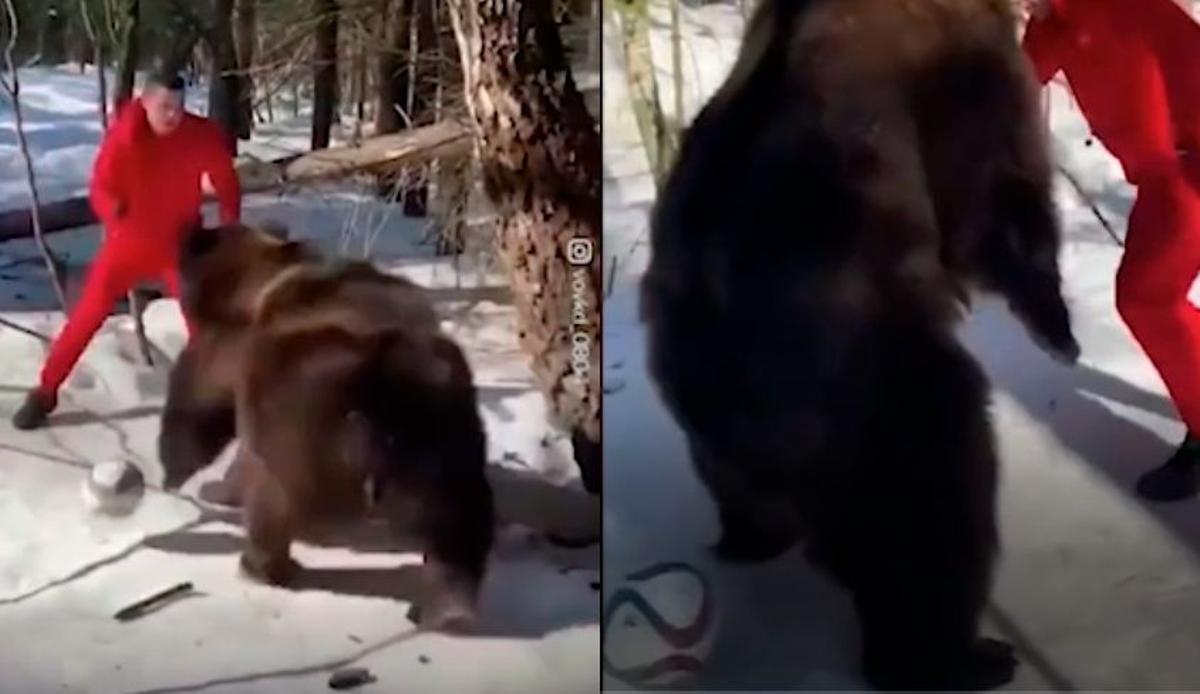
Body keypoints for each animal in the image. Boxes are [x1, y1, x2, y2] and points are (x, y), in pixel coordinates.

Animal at [158, 222, 494, 634]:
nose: (189, 233)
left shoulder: (236, 351)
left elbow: (200, 398)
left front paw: (196, 480)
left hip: (301, 414)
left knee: (273, 499)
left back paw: (262, 564)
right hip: (442, 423)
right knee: (459, 518)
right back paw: (449, 607)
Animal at [639, 0, 1079, 689]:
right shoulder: (956, 76)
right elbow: (993, 186)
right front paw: (1056, 322)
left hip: (710, 414)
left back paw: (748, 538)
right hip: (876, 388)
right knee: (934, 506)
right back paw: (961, 655)